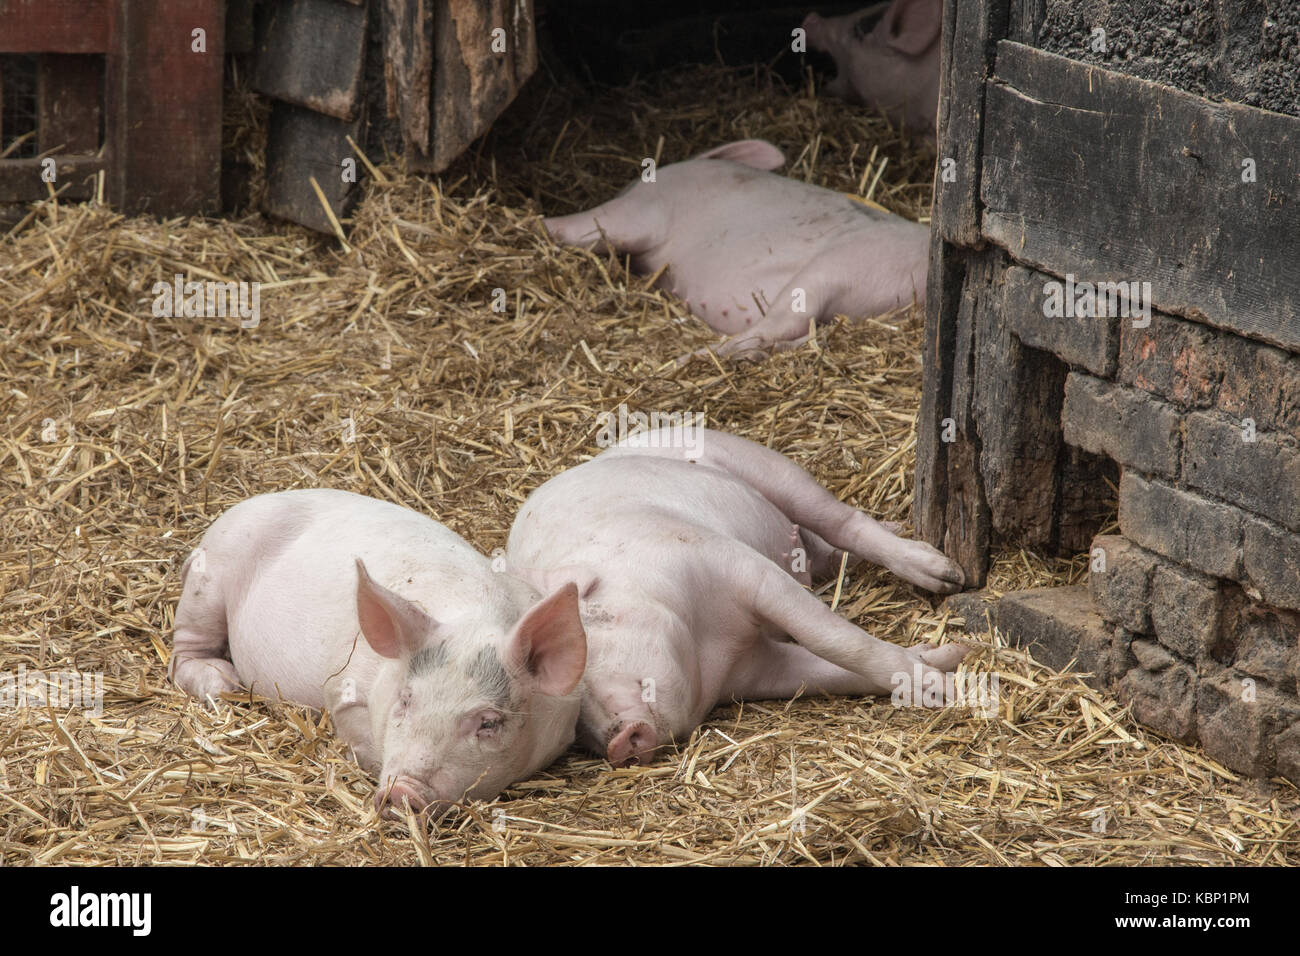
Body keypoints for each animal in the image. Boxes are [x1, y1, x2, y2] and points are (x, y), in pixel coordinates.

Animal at [170, 489, 587, 819]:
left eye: (489, 722)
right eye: (406, 700)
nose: (402, 791)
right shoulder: (343, 687)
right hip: (212, 576)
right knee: (183, 651)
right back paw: (224, 683)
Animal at [505, 425, 968, 768]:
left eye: (588, 649)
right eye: (575, 726)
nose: (618, 744)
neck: (710, 647)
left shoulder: (732, 563)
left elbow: (834, 640)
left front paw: (952, 691)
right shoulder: (755, 671)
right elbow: (829, 672)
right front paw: (949, 657)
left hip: (763, 464)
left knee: (842, 522)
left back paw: (946, 575)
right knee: (834, 552)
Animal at [542, 138, 929, 361]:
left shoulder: (642, 211)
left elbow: (582, 226)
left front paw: (539, 221)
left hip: (833, 269)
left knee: (778, 325)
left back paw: (690, 357)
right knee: (803, 335)